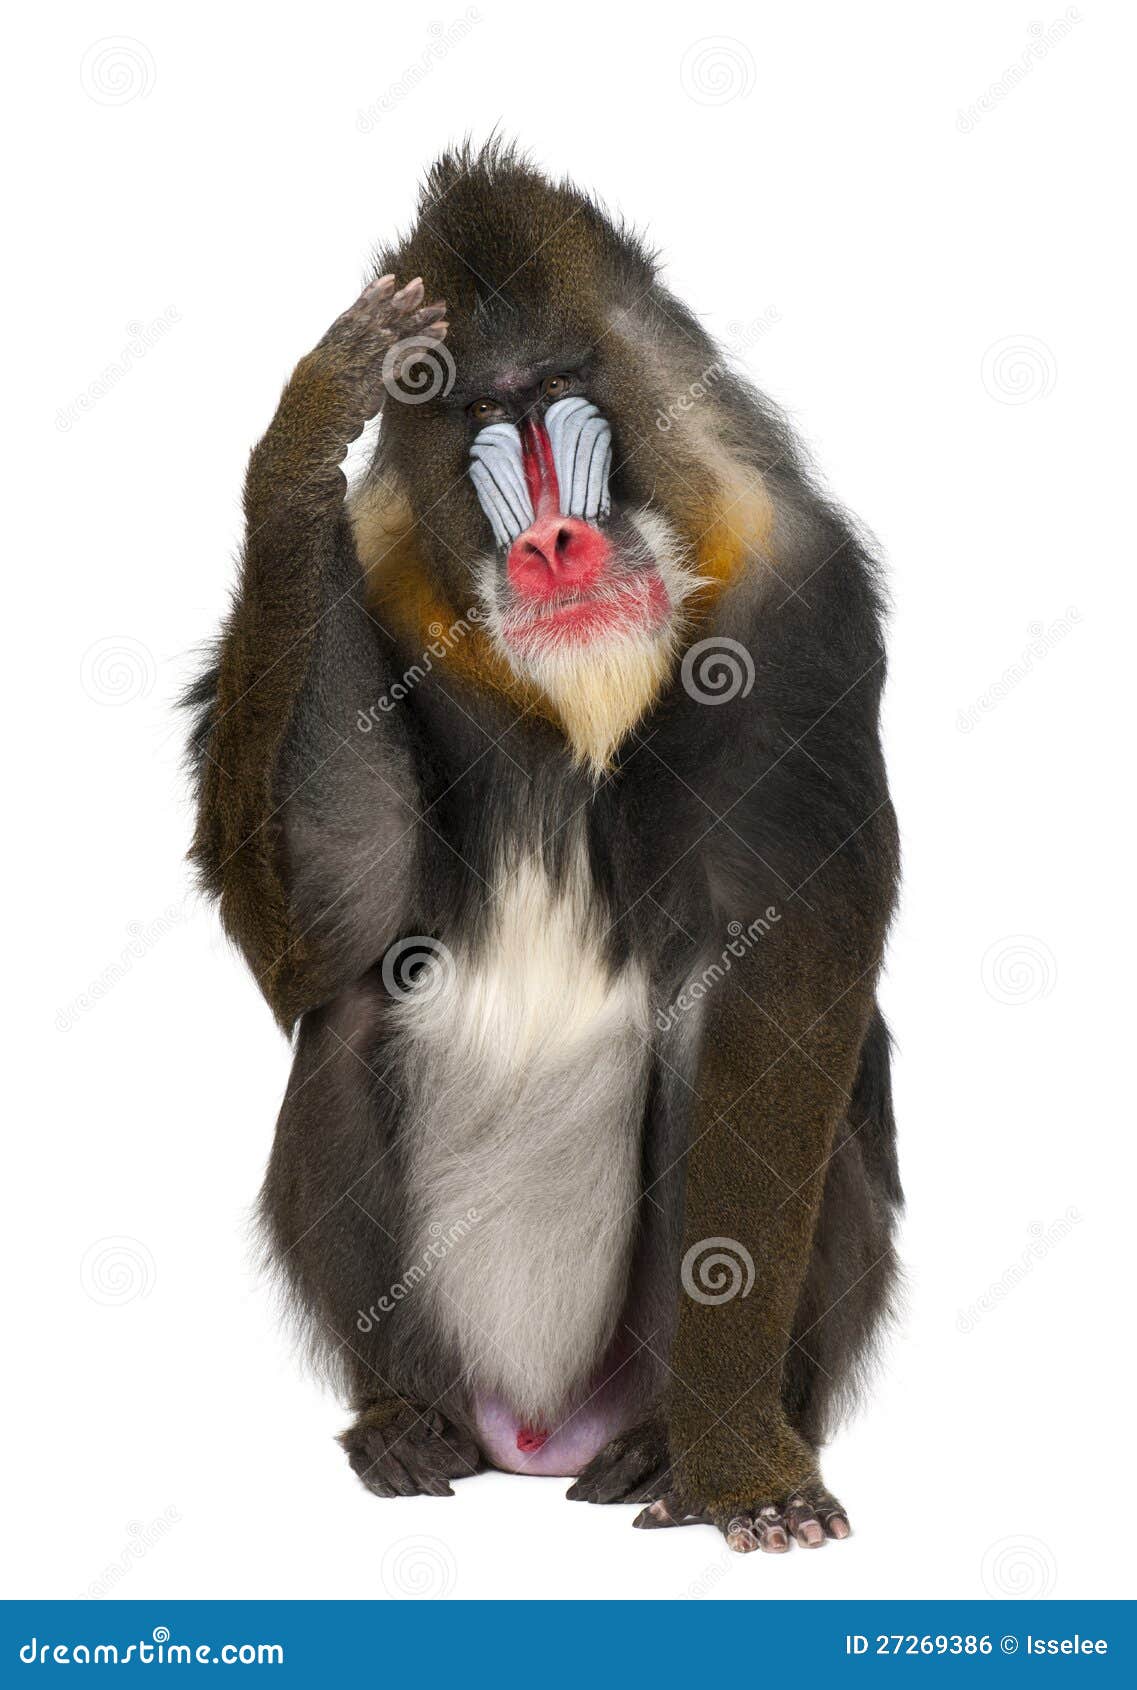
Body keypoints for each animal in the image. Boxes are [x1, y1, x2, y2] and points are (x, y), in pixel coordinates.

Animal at [186, 140, 901, 1555]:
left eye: (563, 396)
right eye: (477, 415)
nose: (552, 541)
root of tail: (533, 1428)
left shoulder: (802, 612)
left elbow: (783, 987)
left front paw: (747, 1475)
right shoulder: (386, 587)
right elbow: (330, 930)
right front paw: (309, 429)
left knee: (713, 1031)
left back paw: (656, 1447)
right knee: (350, 1018)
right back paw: (405, 1426)